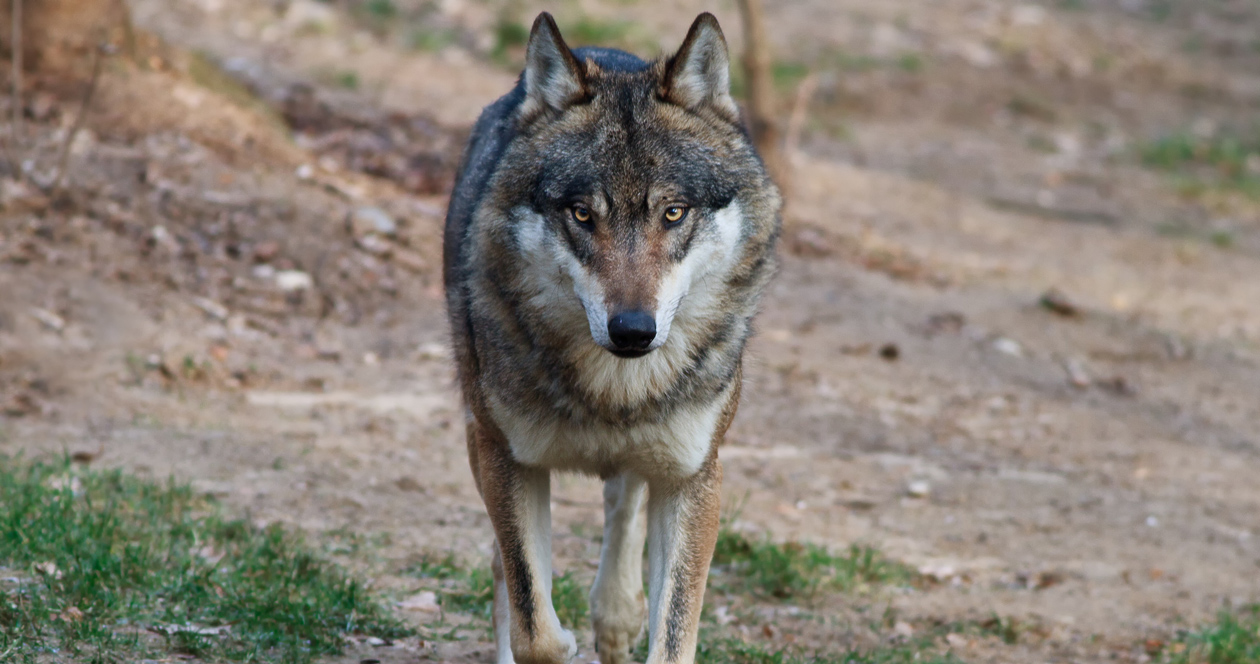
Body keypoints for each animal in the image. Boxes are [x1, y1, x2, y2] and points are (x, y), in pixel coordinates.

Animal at [443, 11, 780, 664]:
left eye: (673, 213)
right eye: (581, 214)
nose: (632, 331)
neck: (615, 390)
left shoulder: (695, 476)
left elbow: (672, 633)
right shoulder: (501, 453)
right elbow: (533, 623)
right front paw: (555, 638)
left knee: (622, 507)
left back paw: (617, 615)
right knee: (504, 569)